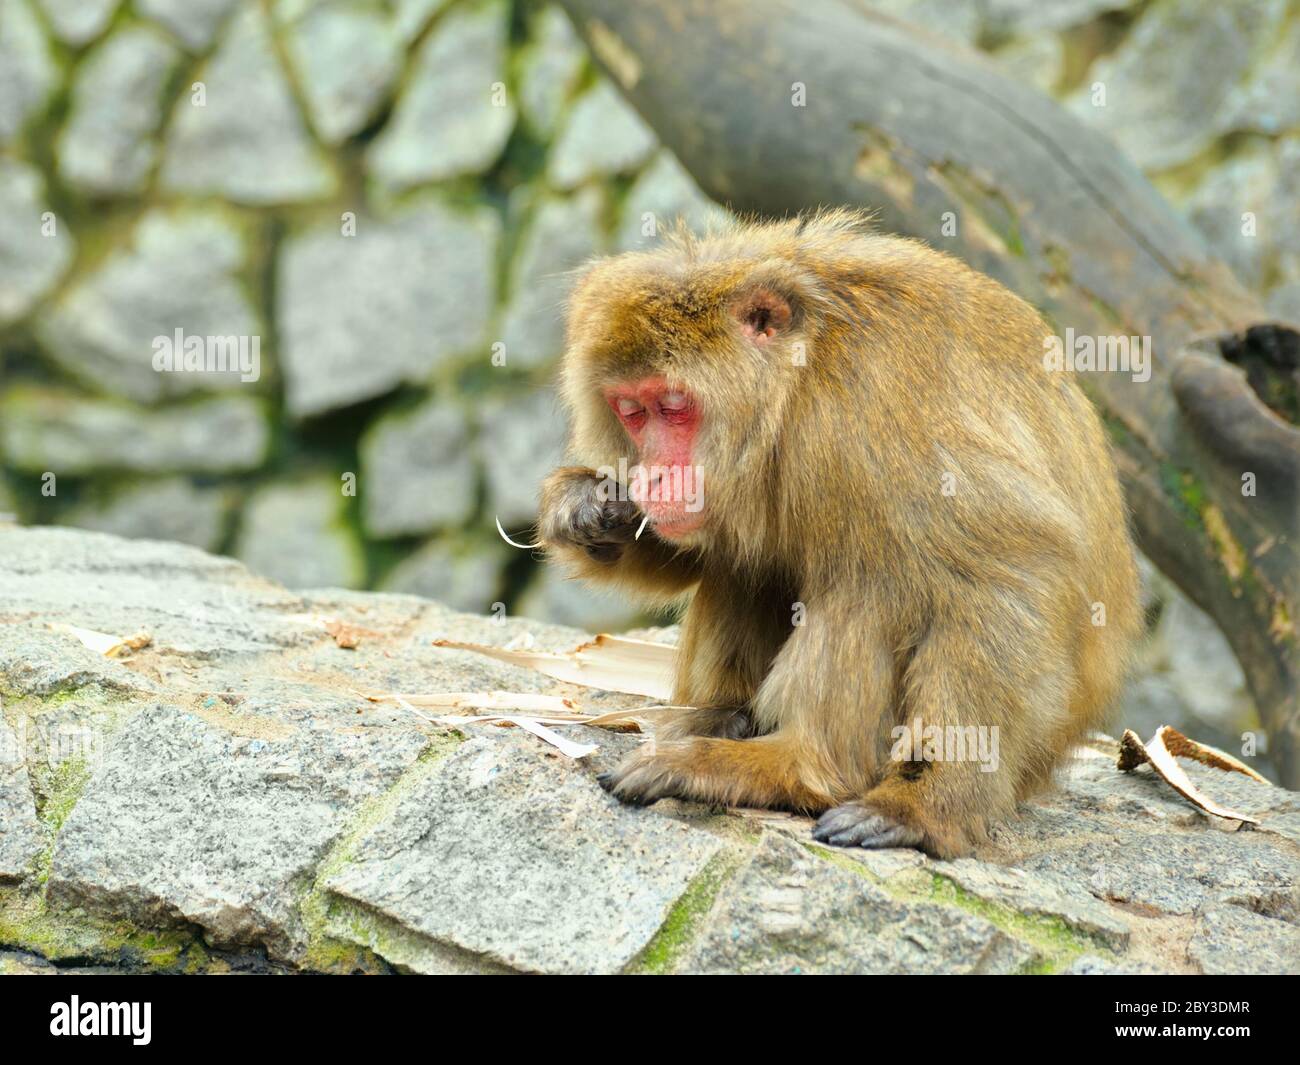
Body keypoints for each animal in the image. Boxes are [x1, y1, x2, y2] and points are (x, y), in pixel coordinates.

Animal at [537, 209, 1141, 858]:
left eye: (673, 406)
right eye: (630, 411)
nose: (653, 475)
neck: (796, 387)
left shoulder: (872, 412)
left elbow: (1008, 571)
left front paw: (925, 807)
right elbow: (703, 550)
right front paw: (581, 505)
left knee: (871, 582)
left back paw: (790, 769)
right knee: (752, 566)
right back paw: (726, 718)